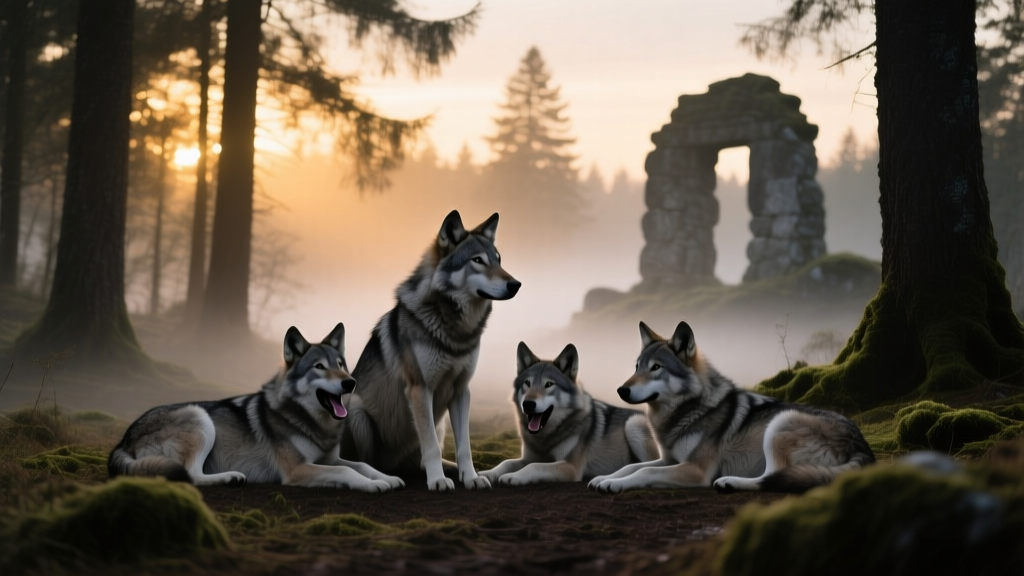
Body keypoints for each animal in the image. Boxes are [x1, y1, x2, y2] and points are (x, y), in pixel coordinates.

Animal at [108, 323, 404, 492]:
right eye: (319, 367)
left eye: (341, 365)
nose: (351, 383)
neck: (308, 420)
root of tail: (123, 440)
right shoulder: (297, 469)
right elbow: (347, 471)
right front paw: (375, 485)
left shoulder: (328, 459)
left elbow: (361, 464)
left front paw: (387, 478)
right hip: (200, 417)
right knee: (190, 475)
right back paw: (231, 478)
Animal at [340, 210, 521, 491]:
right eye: (477, 260)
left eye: (498, 260)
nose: (516, 284)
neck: (455, 333)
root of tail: (397, 464)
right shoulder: (420, 389)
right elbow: (432, 447)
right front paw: (437, 481)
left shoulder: (461, 391)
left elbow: (464, 447)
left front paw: (471, 478)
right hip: (358, 412)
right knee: (370, 462)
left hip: (441, 422)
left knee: (422, 460)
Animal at [481, 342, 659, 485]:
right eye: (527, 383)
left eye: (549, 384)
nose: (528, 404)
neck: (546, 437)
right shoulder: (528, 458)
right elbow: (506, 462)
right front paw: (485, 474)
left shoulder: (570, 466)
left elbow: (534, 466)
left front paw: (513, 477)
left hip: (633, 424)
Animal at [588, 321, 874, 494]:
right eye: (637, 367)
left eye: (656, 367)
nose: (621, 390)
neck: (685, 411)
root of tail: (864, 447)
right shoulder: (668, 458)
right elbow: (631, 467)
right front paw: (606, 478)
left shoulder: (697, 470)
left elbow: (644, 469)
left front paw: (614, 484)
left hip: (780, 423)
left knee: (771, 478)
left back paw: (729, 482)